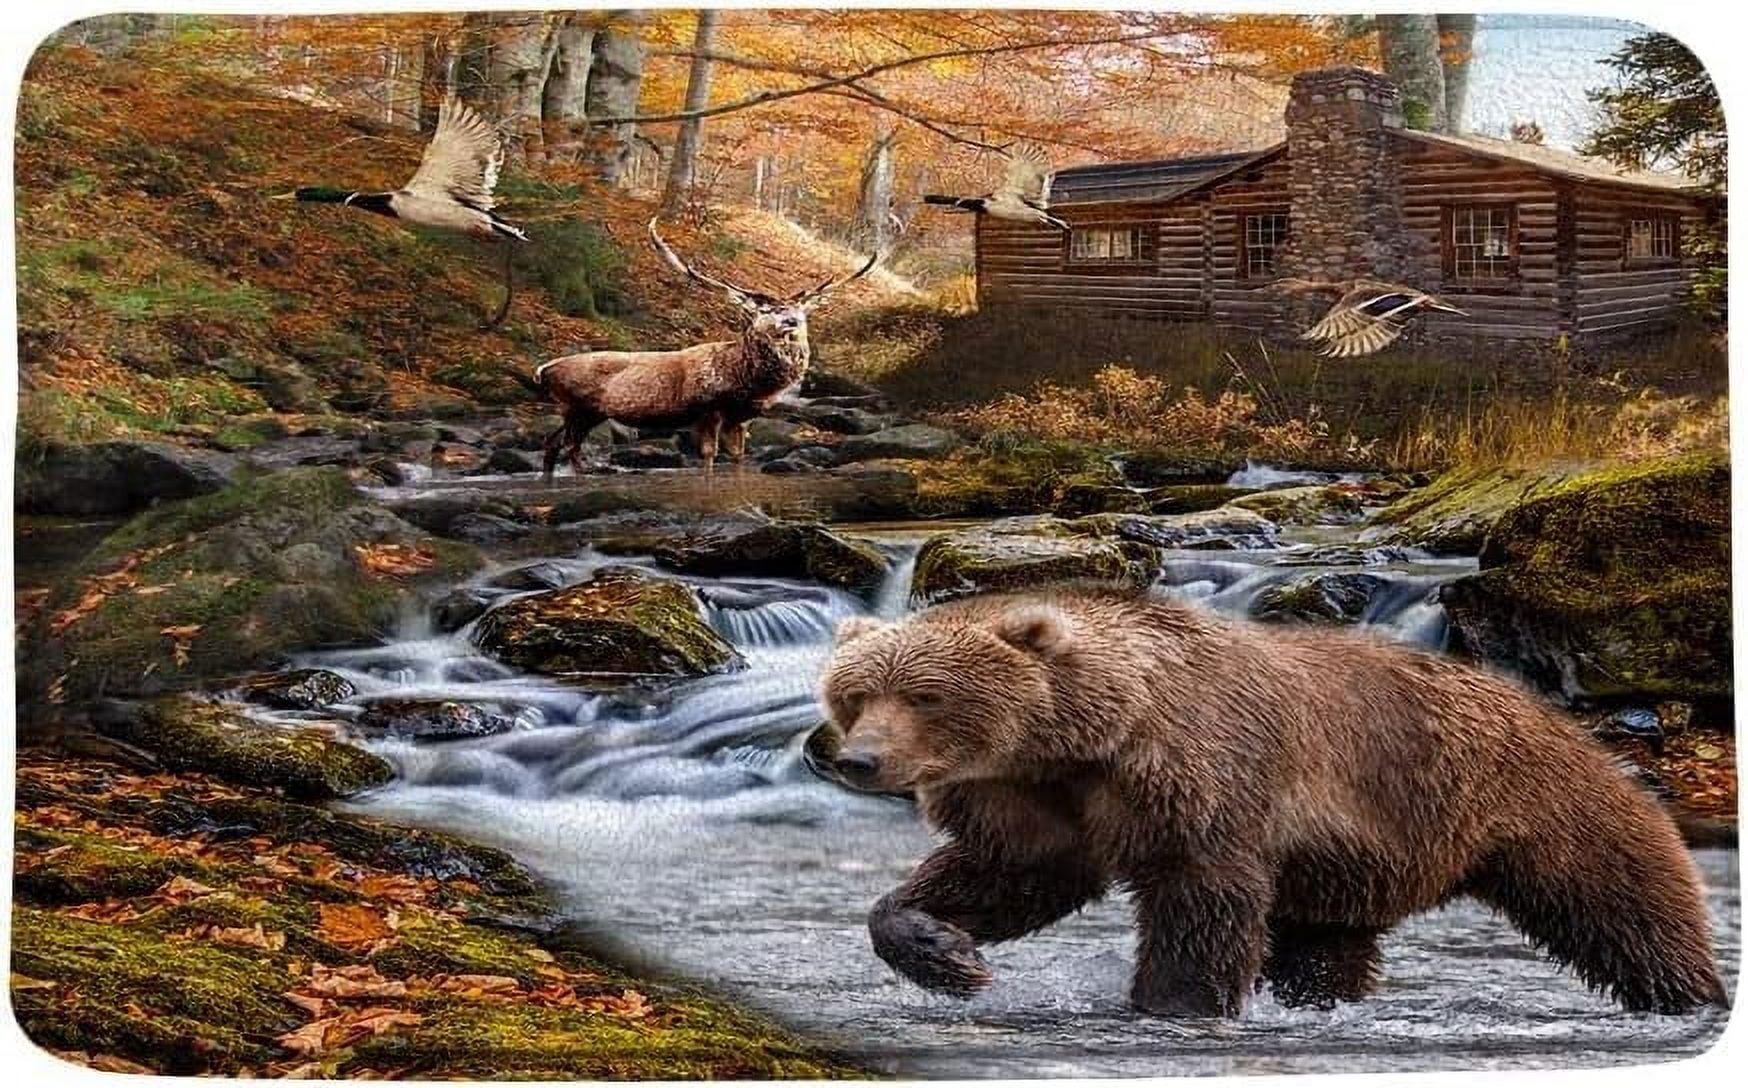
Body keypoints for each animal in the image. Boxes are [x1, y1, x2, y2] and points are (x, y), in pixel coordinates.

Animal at [532, 218, 881, 482]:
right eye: (764, 310)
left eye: (801, 310)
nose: (791, 321)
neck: (743, 379)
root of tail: (543, 369)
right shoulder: (707, 408)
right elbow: (709, 457)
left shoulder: (742, 417)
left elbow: (739, 458)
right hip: (574, 405)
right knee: (569, 446)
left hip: (585, 412)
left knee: (553, 443)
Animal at [818, 582, 1727, 1017]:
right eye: (857, 694)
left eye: (926, 696)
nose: (859, 760)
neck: (1087, 740)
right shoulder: (1029, 800)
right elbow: (1007, 877)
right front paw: (947, 953)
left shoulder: (1199, 778)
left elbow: (1202, 901)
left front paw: (1171, 1004)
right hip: (1351, 869)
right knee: (1324, 946)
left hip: (1539, 802)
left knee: (1624, 905)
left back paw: (1689, 993)